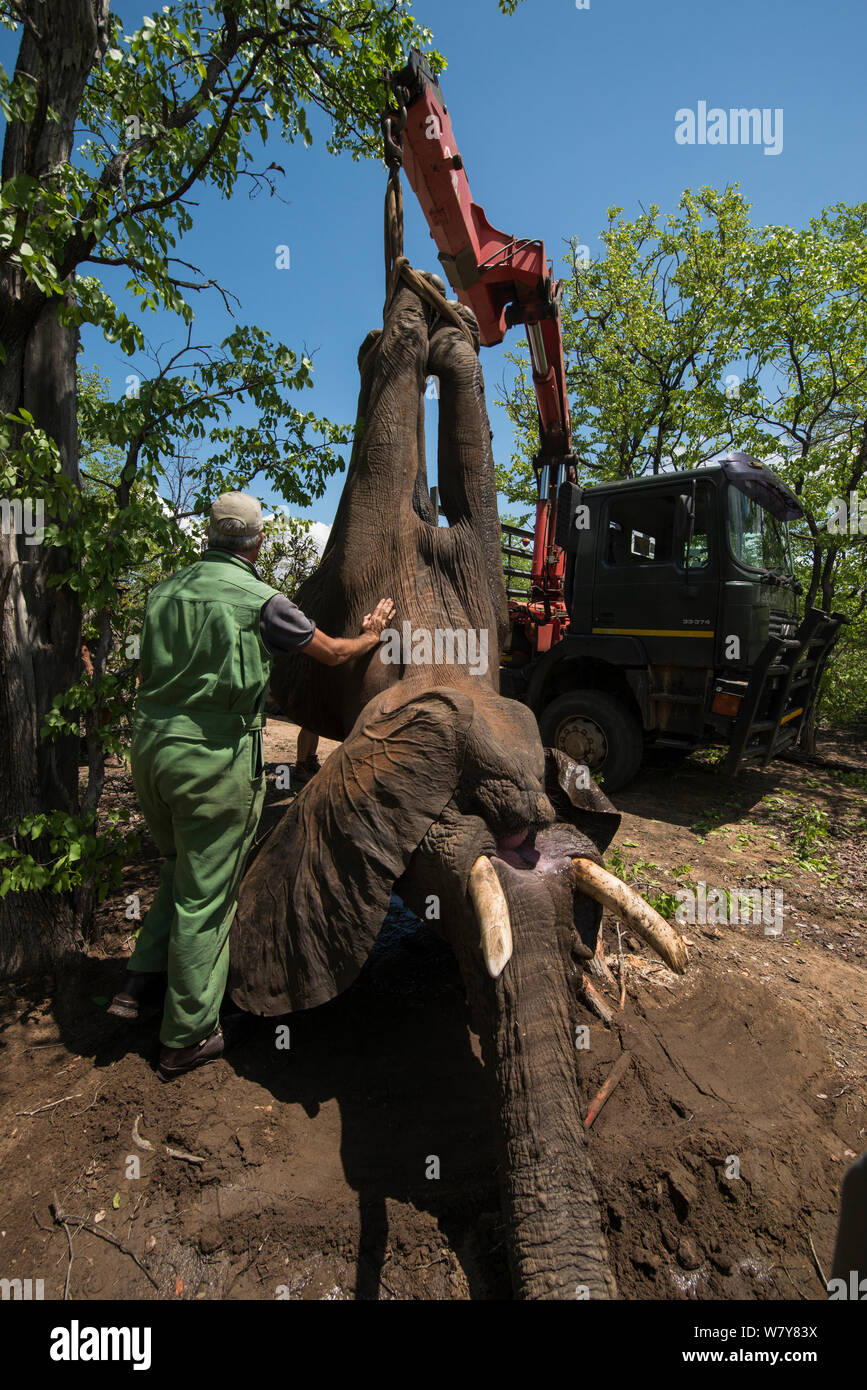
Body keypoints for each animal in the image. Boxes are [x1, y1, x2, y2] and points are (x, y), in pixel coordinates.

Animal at [228, 260, 687, 1299]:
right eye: (438, 899)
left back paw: (446, 325)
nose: (519, 817)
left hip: (465, 556)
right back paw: (419, 322)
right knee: (396, 393)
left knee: (463, 448)